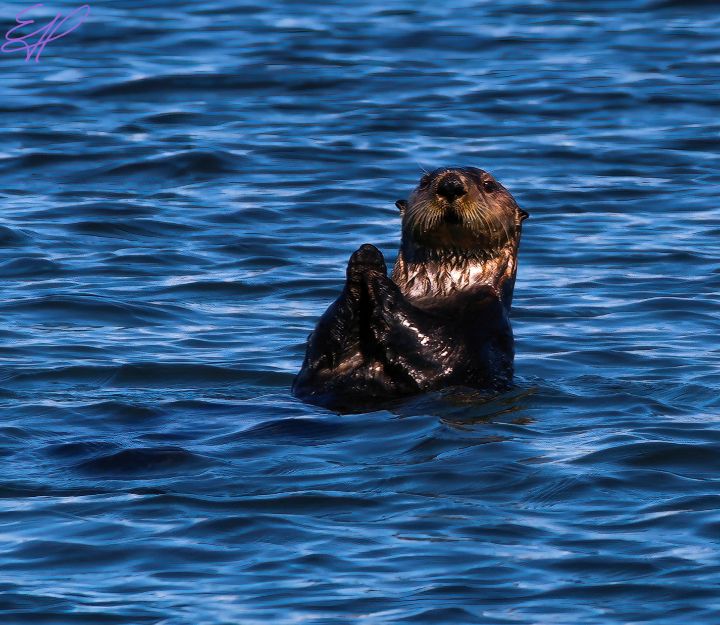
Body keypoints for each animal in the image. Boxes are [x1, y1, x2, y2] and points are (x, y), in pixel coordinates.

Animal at [293, 167, 528, 410]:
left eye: (489, 185)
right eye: (424, 182)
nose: (451, 185)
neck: (441, 288)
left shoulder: (487, 319)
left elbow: (439, 351)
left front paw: (374, 266)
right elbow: (321, 358)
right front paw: (365, 255)